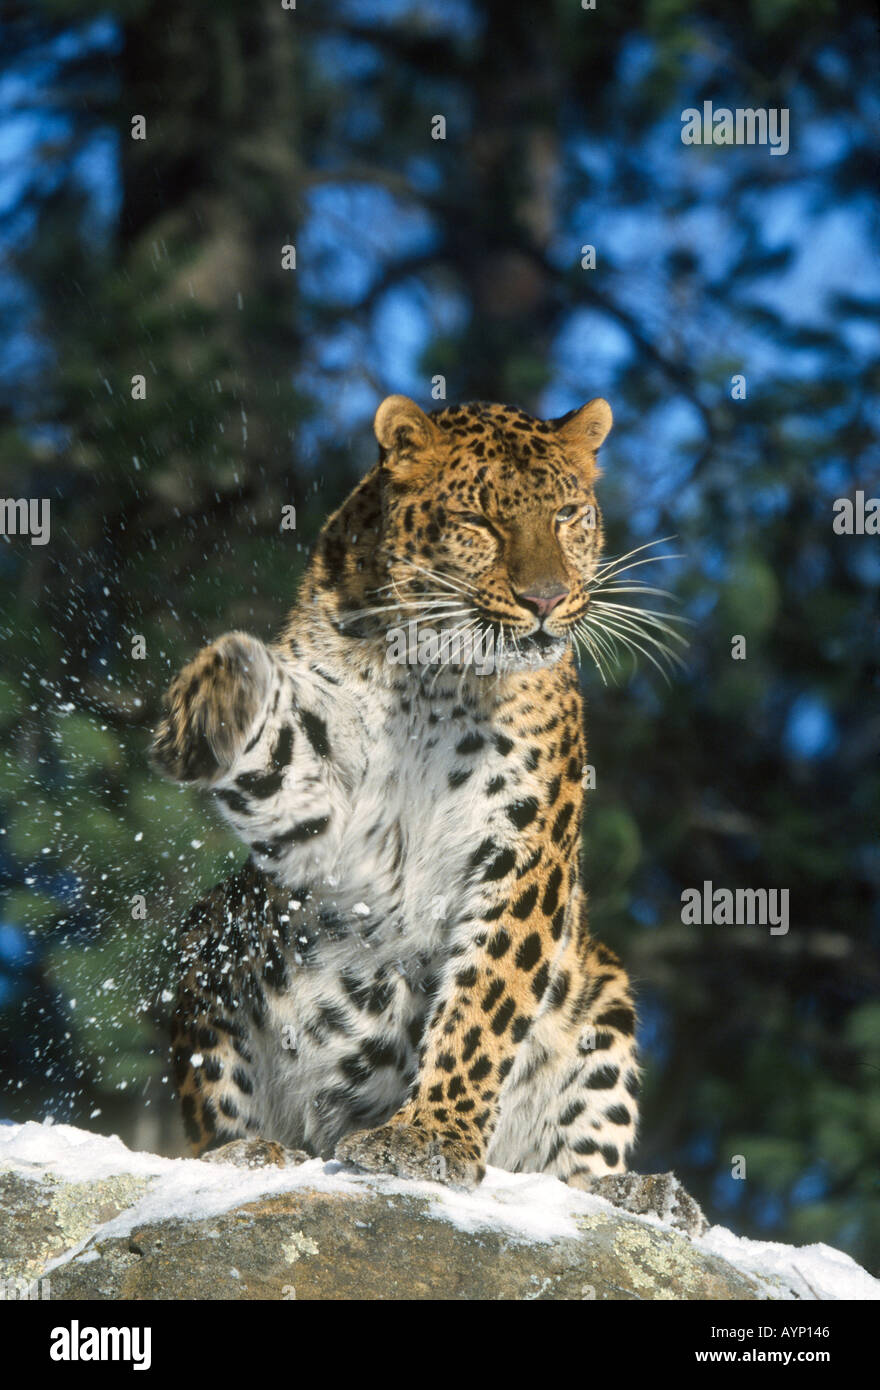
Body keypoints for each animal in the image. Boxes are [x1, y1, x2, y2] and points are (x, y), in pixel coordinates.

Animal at [152, 393, 705, 1235]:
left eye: (569, 514)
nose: (546, 600)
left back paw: (646, 1196)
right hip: (212, 935)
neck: (438, 674)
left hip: (602, 991)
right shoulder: (321, 816)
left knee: (571, 1169)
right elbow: (274, 755)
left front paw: (429, 1138)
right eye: (479, 521)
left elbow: (485, 1003)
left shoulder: (524, 852)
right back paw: (246, 1157)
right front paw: (223, 687)